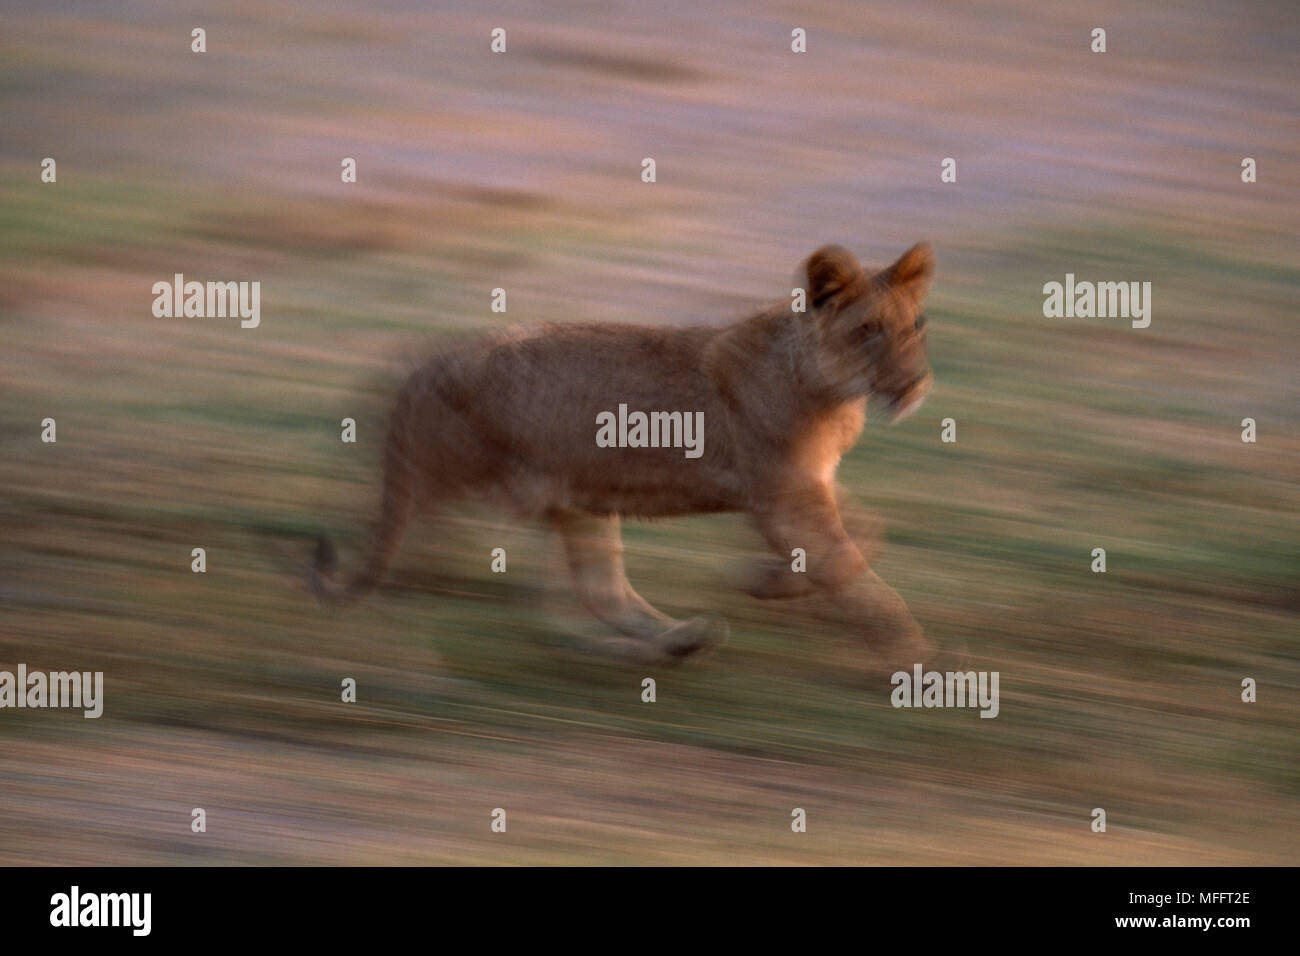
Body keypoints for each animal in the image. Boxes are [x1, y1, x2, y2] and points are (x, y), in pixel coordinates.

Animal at [313, 242, 936, 666]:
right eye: (867, 330)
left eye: (915, 325)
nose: (914, 385)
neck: (834, 395)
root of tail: (420, 367)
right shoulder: (784, 497)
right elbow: (850, 565)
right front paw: (916, 660)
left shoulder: (807, 486)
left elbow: (867, 534)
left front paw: (771, 580)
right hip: (490, 484)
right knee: (444, 583)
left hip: (577, 501)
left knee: (589, 597)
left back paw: (676, 643)